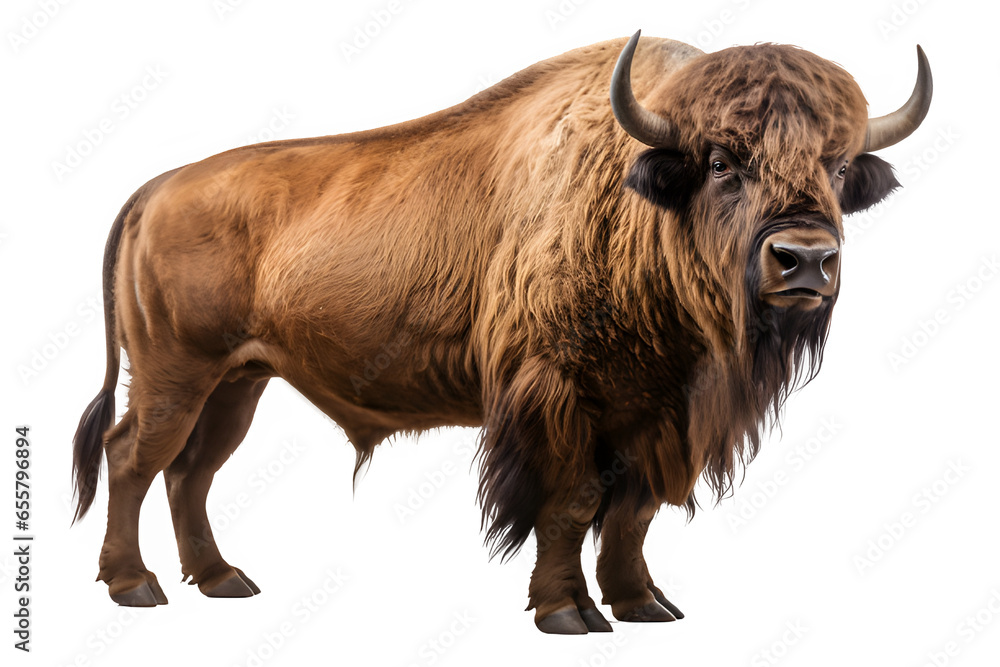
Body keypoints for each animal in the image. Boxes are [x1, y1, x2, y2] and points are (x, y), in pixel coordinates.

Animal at [72, 31, 931, 633]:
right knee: (134, 456)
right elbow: (571, 503)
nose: (805, 259)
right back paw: (136, 586)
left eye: (838, 166)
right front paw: (567, 611)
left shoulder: (656, 416)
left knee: (190, 471)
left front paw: (644, 603)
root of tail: (152, 192)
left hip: (239, 383)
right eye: (721, 161)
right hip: (177, 374)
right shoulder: (560, 398)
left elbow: (632, 512)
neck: (634, 201)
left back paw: (223, 579)